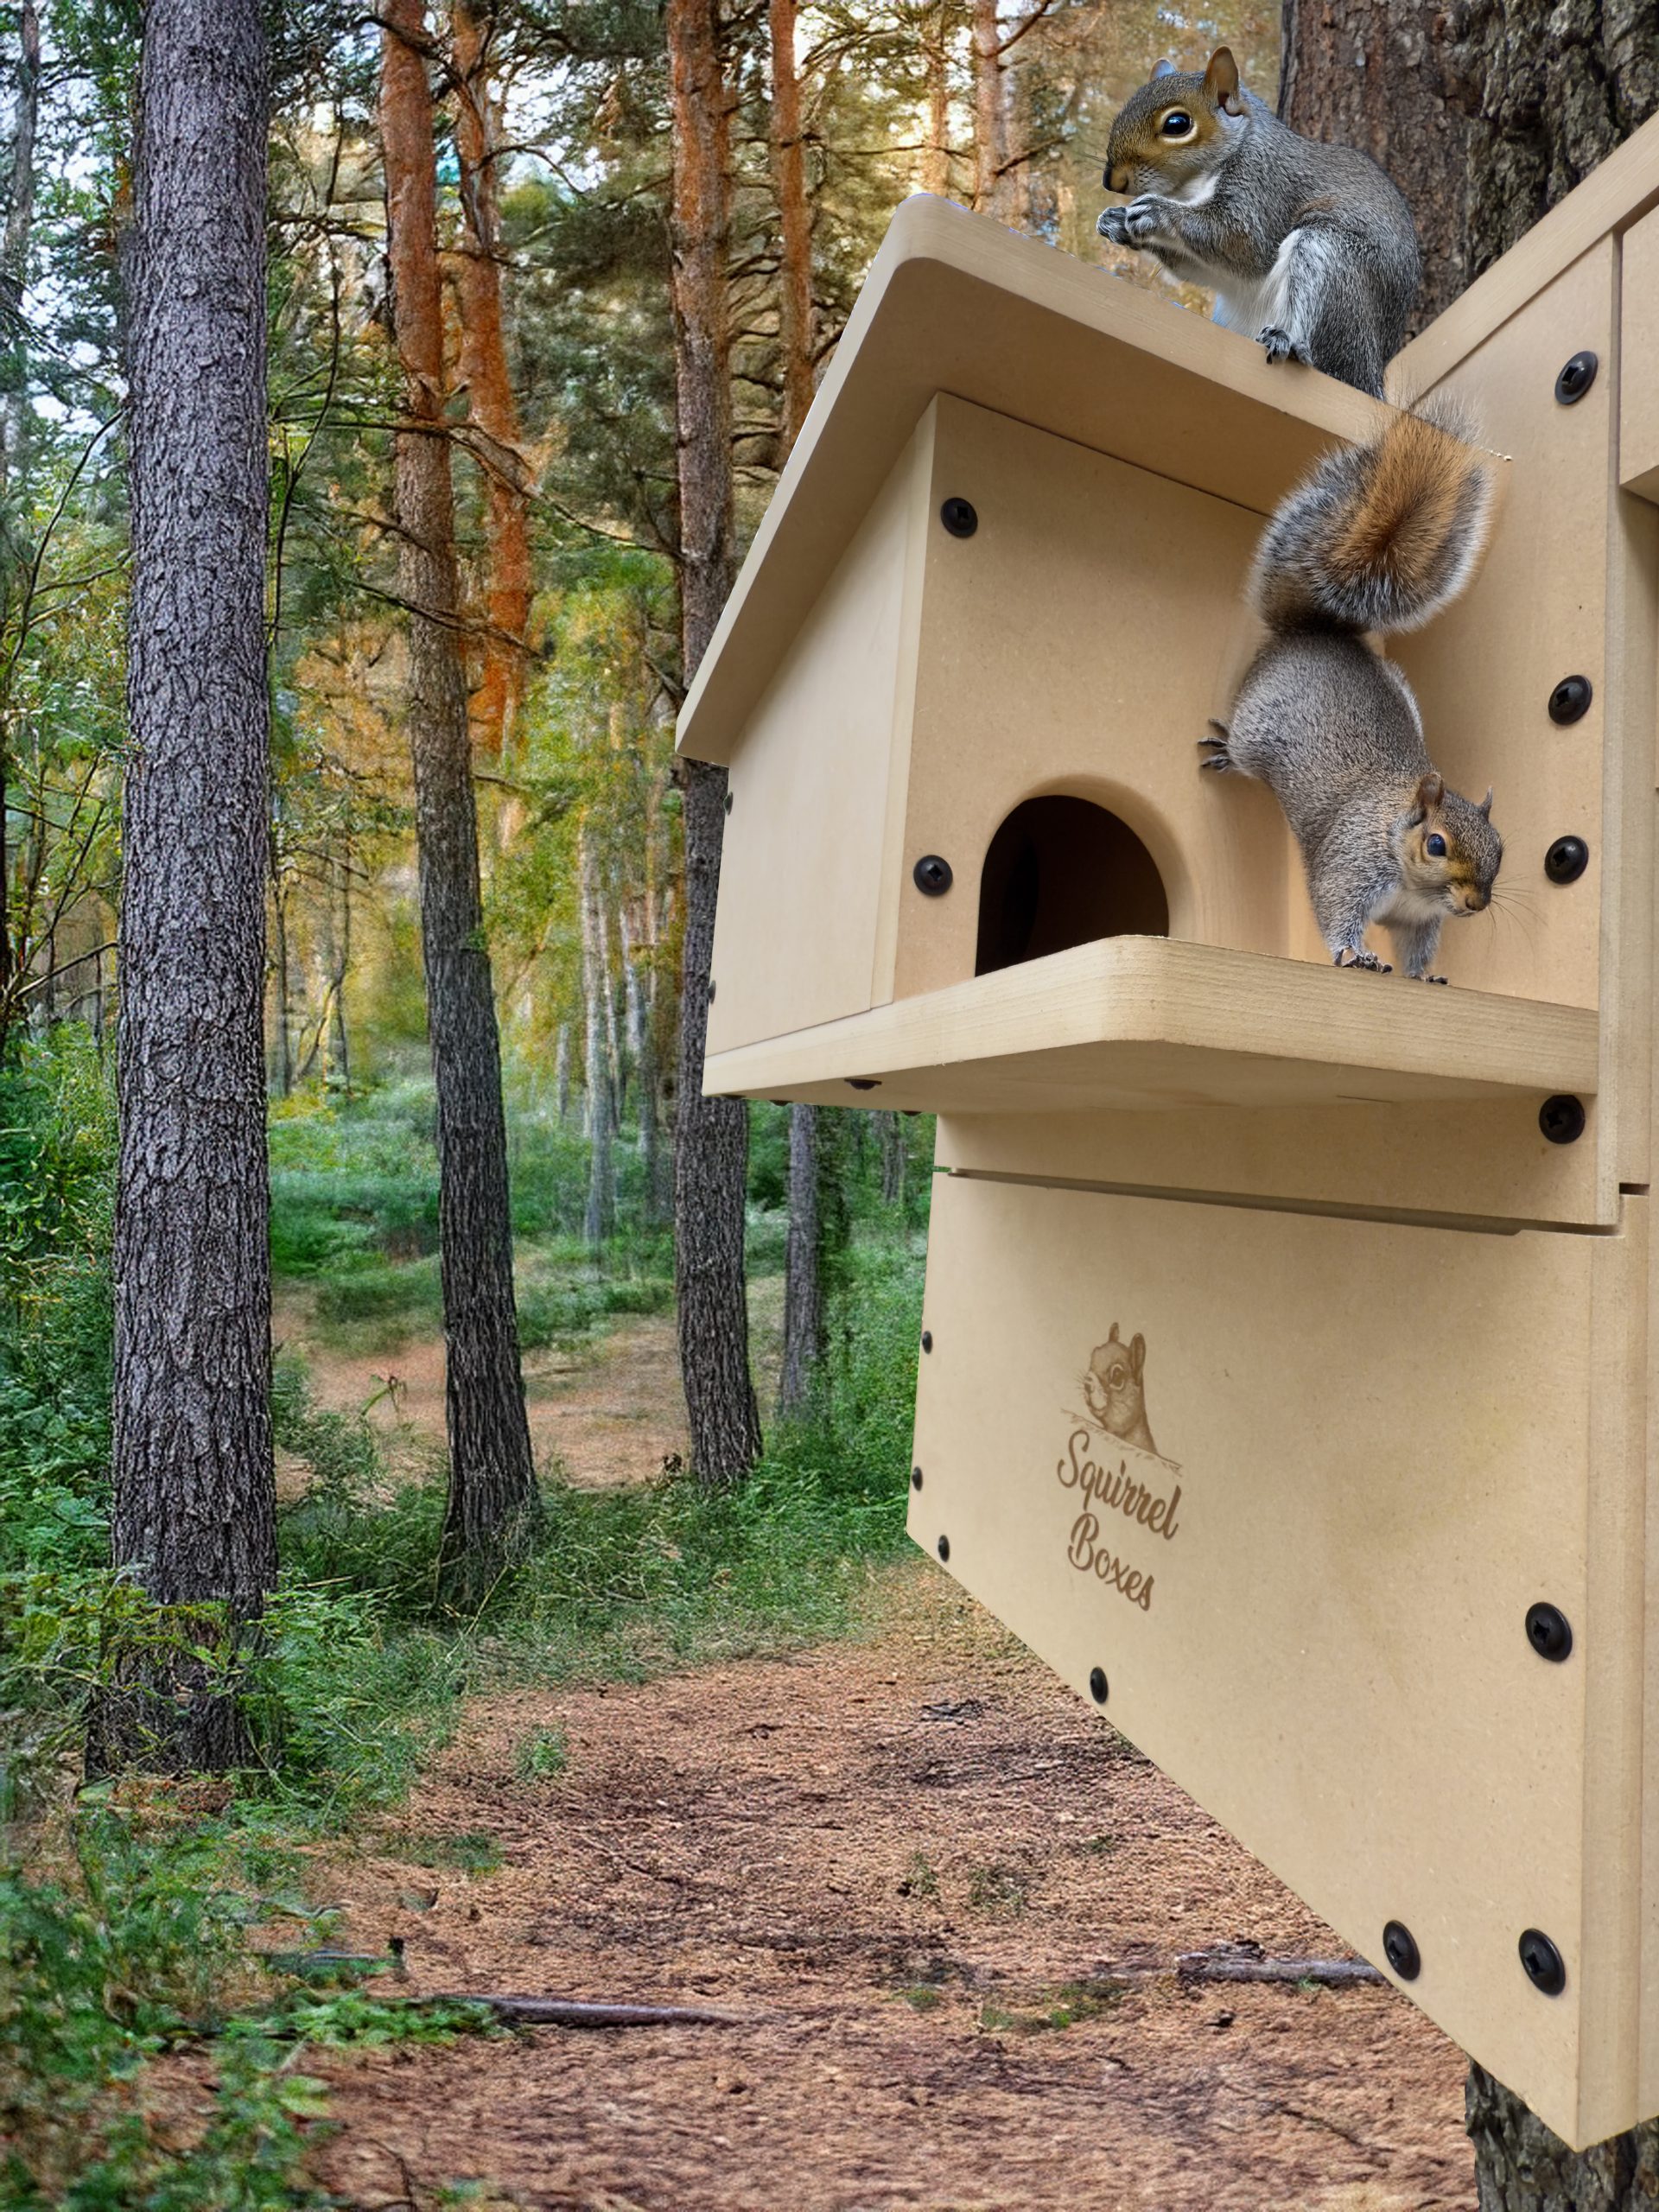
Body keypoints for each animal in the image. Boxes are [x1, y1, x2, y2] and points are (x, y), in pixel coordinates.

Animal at [1097, 48, 1419, 399]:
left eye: (1177, 124)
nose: (1111, 180)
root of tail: (1370, 377)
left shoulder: (1263, 182)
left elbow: (1242, 242)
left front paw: (1156, 212)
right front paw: (1116, 222)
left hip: (1329, 256)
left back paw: (1290, 343)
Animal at [1200, 406, 1500, 982]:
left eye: (1501, 847)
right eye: (1436, 844)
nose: (1477, 904)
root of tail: (1316, 634)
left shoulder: (1418, 921)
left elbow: (1417, 948)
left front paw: (1424, 975)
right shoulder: (1351, 865)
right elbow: (1334, 910)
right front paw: (1358, 955)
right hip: (1257, 726)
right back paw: (1227, 750)